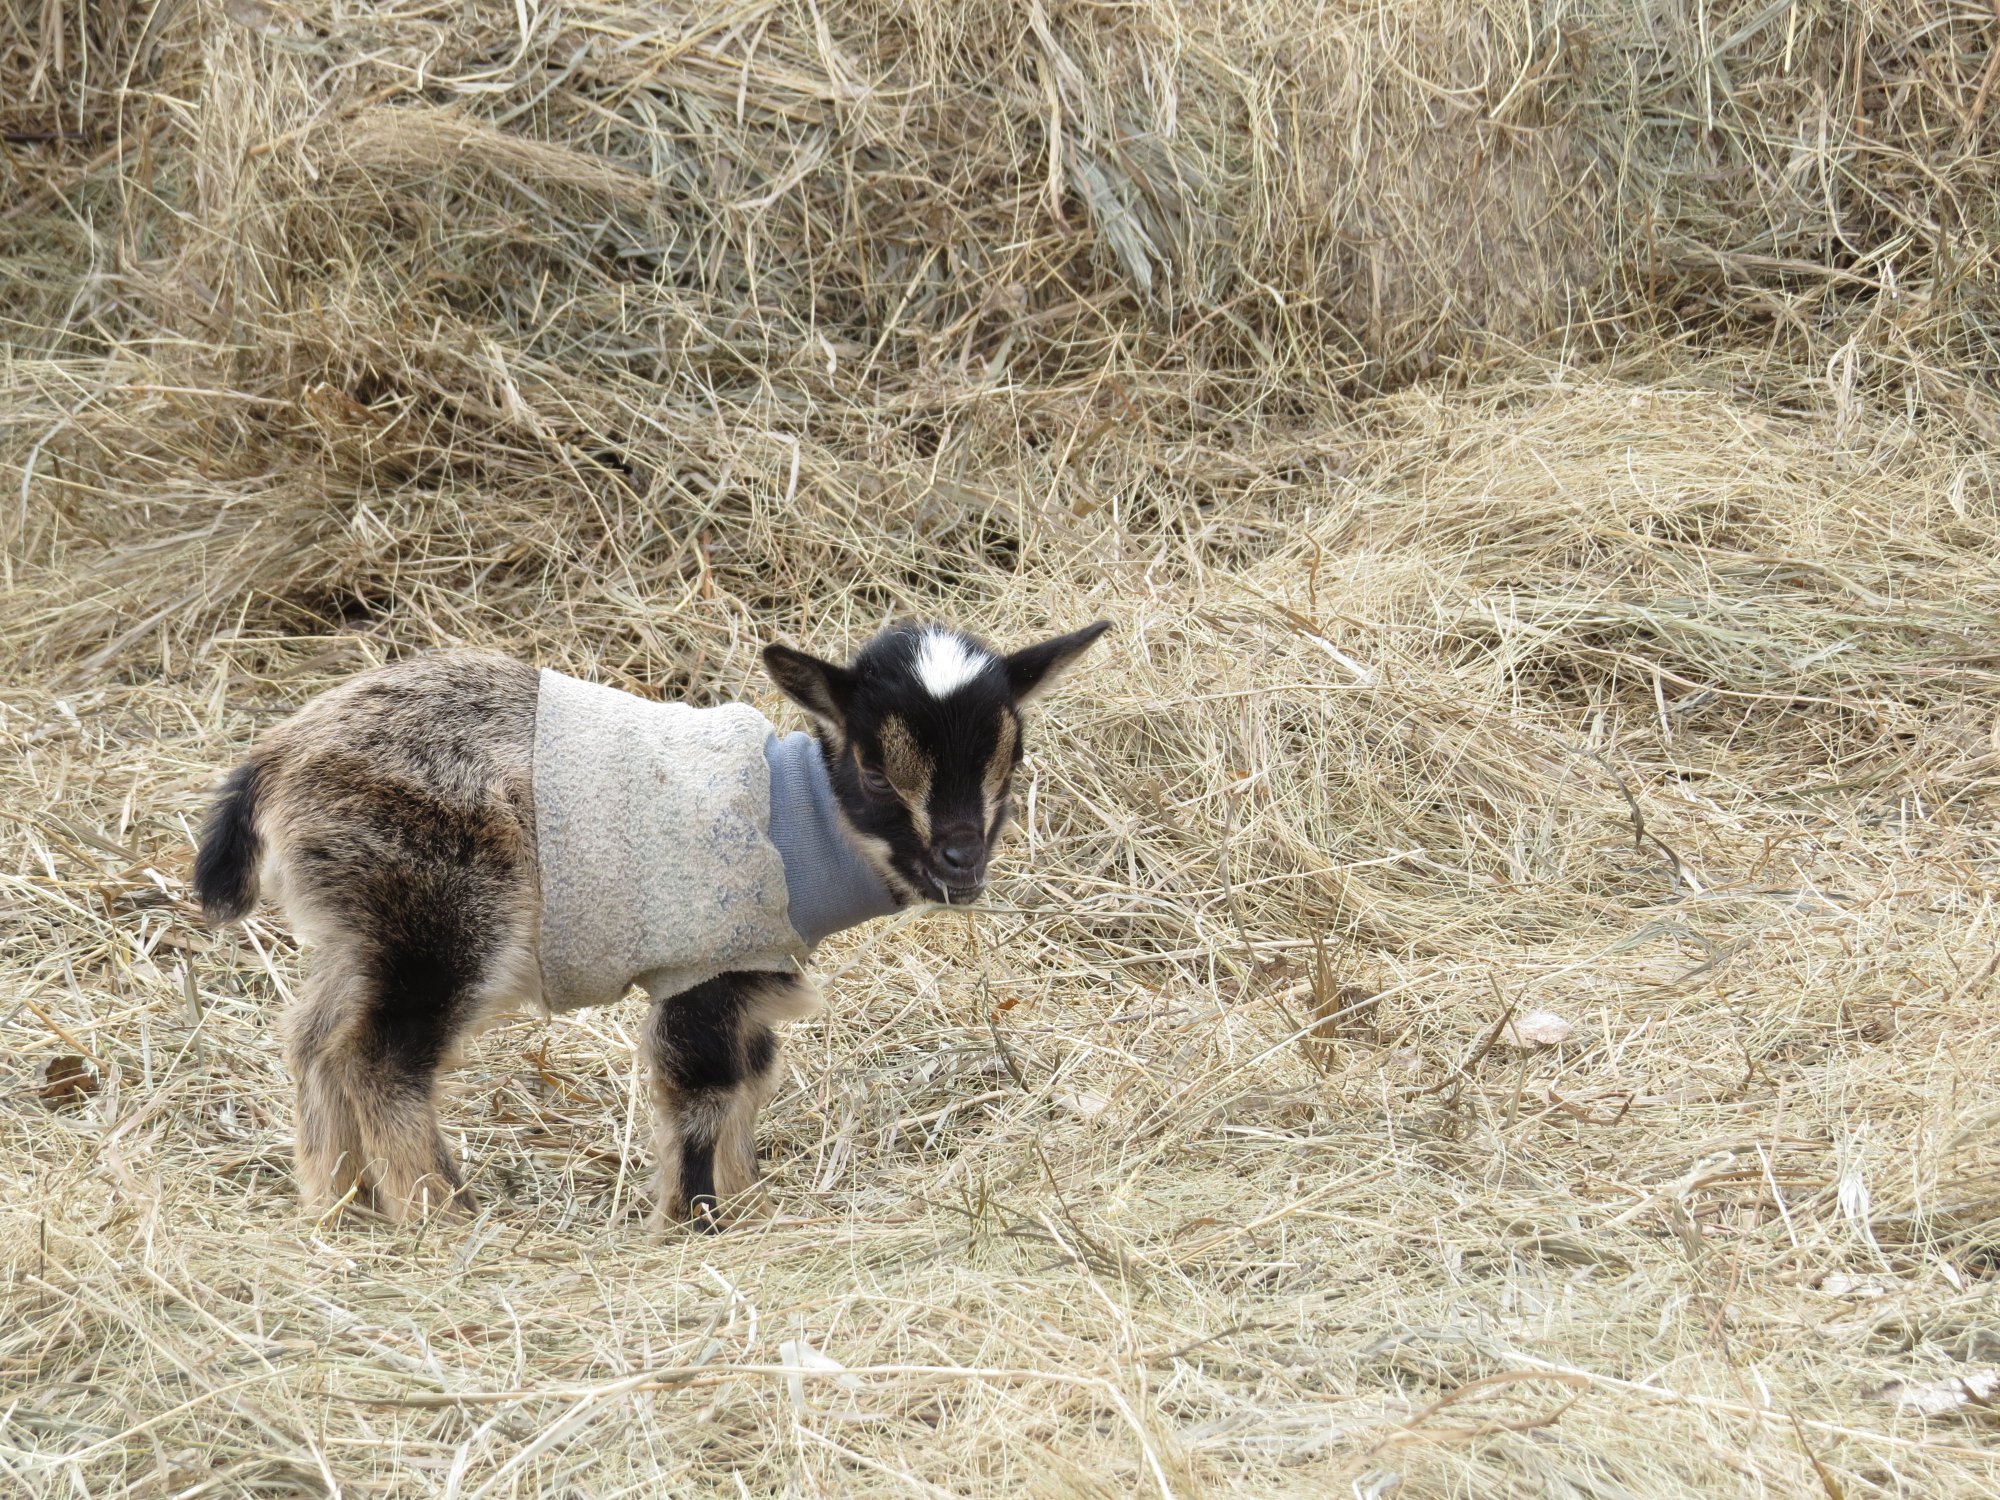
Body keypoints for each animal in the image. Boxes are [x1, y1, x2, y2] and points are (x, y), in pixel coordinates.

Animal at [193, 620, 1109, 1228]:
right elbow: (703, 1086)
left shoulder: (750, 976)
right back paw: (440, 1211)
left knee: (315, 1039)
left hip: (356, 928)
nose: (961, 863)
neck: (799, 821)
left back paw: (338, 1204)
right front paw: (696, 1218)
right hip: (437, 917)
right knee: (380, 1056)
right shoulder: (702, 964)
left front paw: (743, 1197)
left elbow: (750, 1075)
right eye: (878, 770)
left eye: (1010, 761)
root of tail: (277, 759)